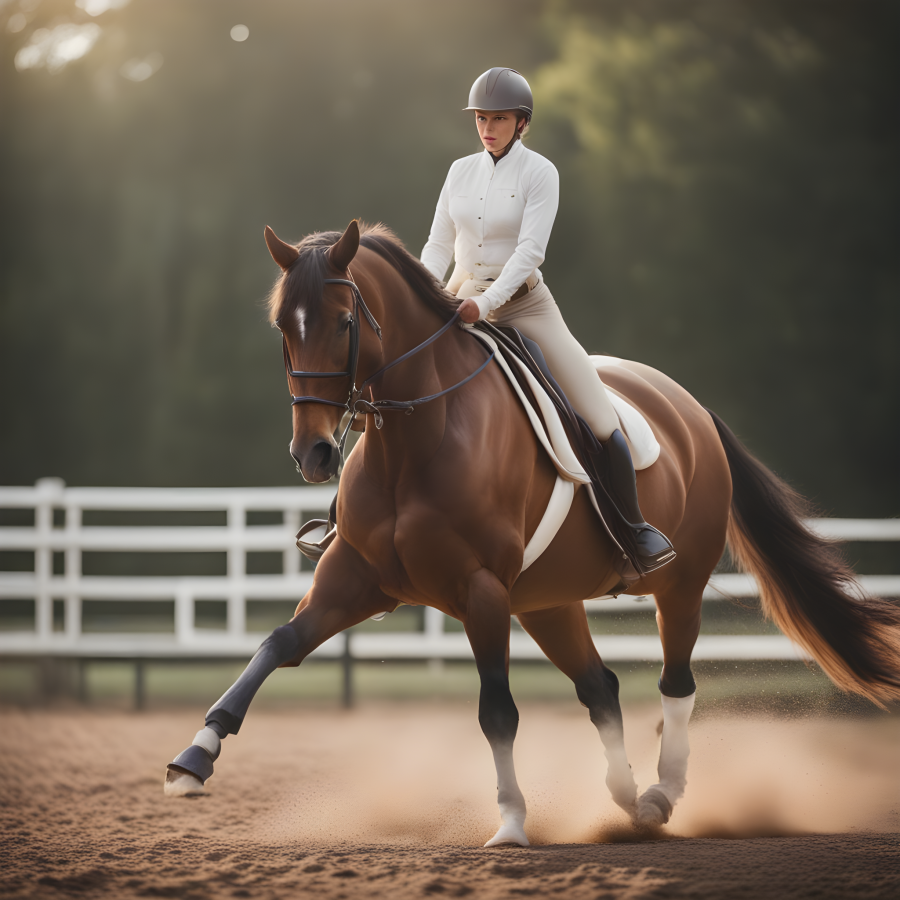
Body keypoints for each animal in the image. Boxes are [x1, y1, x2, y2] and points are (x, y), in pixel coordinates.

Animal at [165, 220, 900, 847]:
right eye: (282, 328)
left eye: (344, 322)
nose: (313, 454)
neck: (416, 439)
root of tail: (690, 407)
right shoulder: (357, 578)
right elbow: (278, 644)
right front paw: (194, 757)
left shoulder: (482, 589)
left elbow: (497, 710)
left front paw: (512, 821)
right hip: (549, 602)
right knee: (601, 688)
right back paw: (627, 801)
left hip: (678, 585)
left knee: (675, 683)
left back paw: (662, 793)